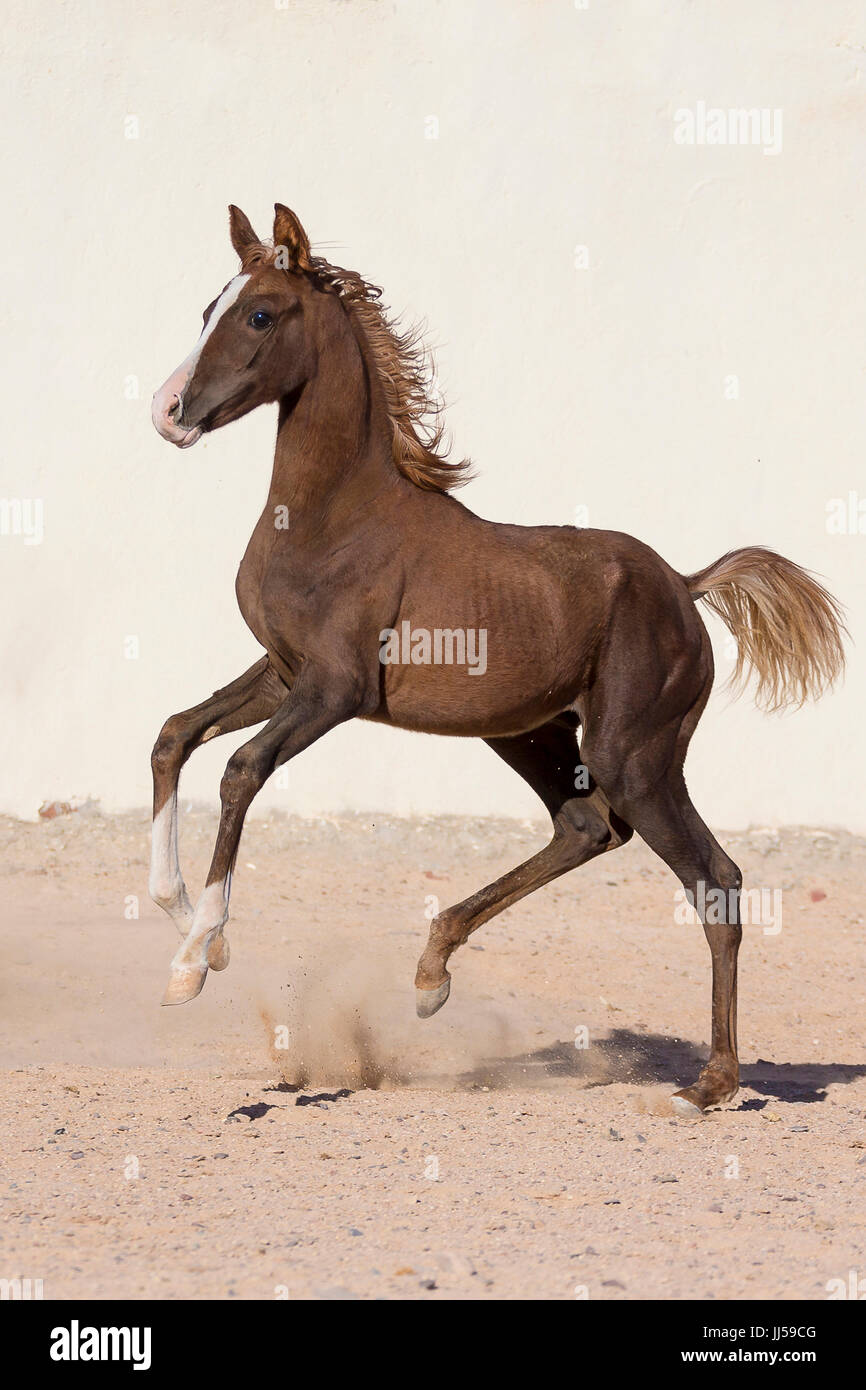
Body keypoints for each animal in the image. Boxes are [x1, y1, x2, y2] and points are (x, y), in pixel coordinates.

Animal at [149, 202, 845, 1115]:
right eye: (209, 308)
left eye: (261, 314)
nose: (169, 410)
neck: (335, 517)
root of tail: (685, 587)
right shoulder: (283, 671)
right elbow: (174, 734)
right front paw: (180, 915)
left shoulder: (335, 690)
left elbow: (239, 770)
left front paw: (195, 963)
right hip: (528, 733)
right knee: (585, 827)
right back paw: (430, 974)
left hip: (634, 754)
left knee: (715, 877)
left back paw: (710, 1084)